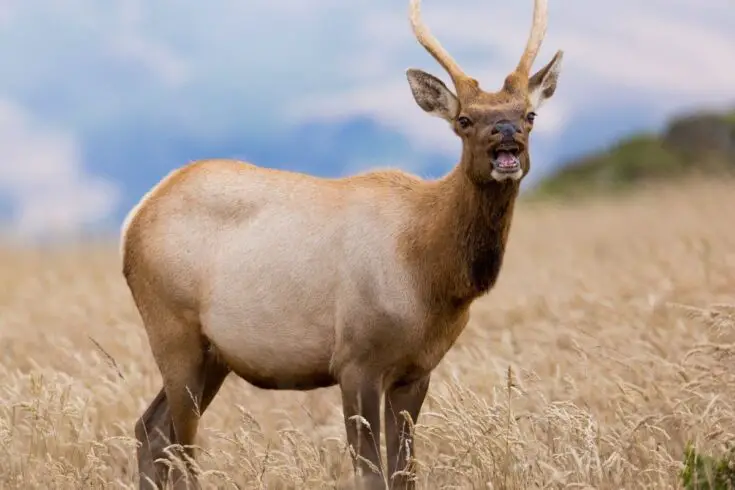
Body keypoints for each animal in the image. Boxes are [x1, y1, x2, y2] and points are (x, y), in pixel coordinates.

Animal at [121, 0, 563, 488]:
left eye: (529, 115)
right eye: (464, 119)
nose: (506, 135)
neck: (428, 274)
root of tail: (134, 218)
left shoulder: (416, 371)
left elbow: (405, 472)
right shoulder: (355, 360)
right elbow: (371, 473)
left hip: (213, 353)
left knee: (149, 429)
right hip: (172, 327)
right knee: (180, 448)